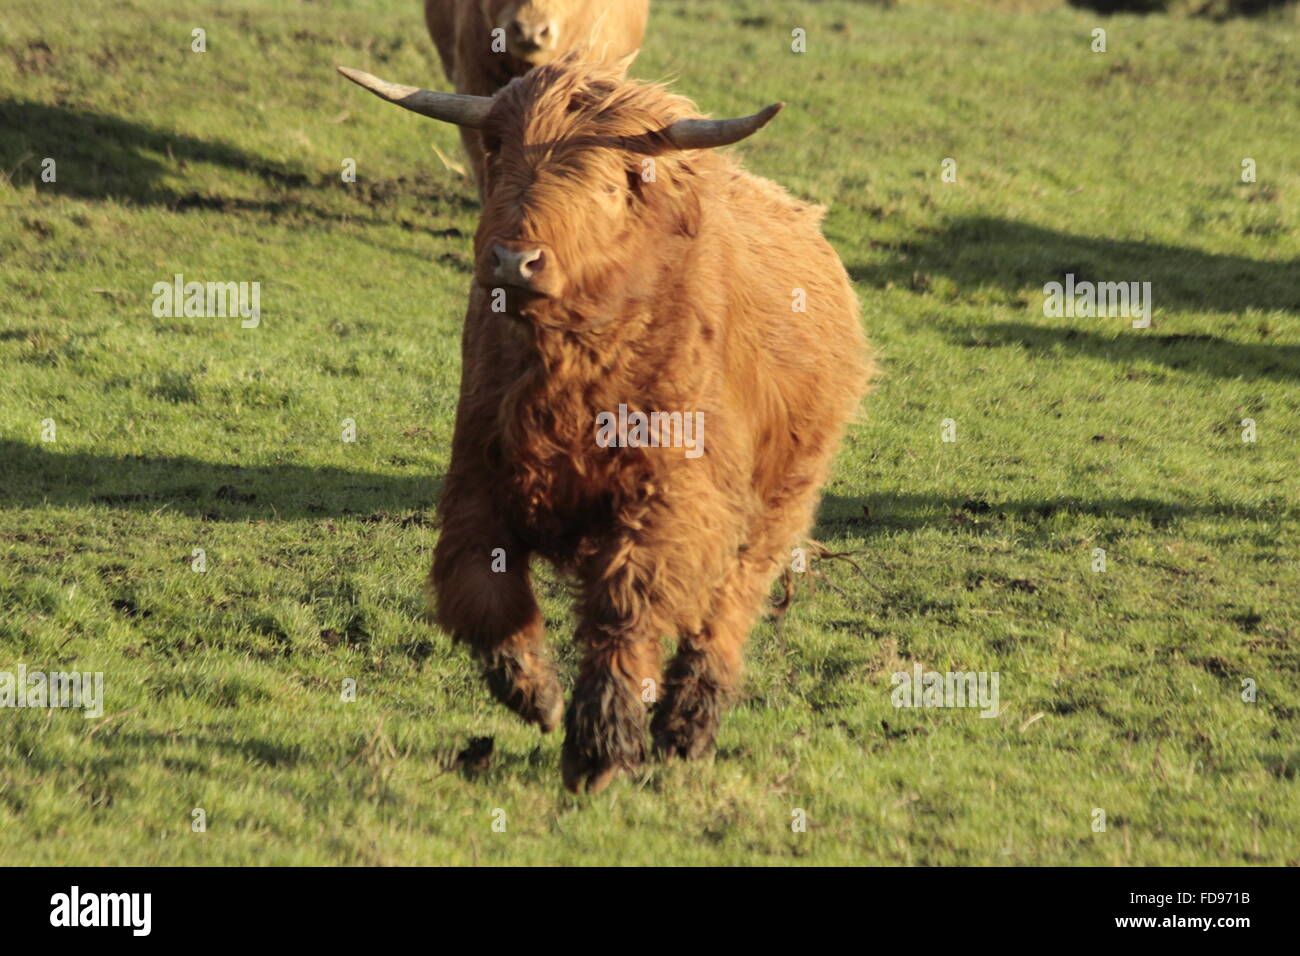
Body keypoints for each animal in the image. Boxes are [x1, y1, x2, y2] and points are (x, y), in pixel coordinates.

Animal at [338, 57, 873, 793]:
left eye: (610, 178)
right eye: (499, 149)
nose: (514, 260)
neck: (570, 372)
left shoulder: (668, 497)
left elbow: (628, 605)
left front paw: (601, 745)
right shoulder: (477, 477)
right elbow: (479, 589)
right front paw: (534, 692)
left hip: (781, 499)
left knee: (728, 608)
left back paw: (687, 727)